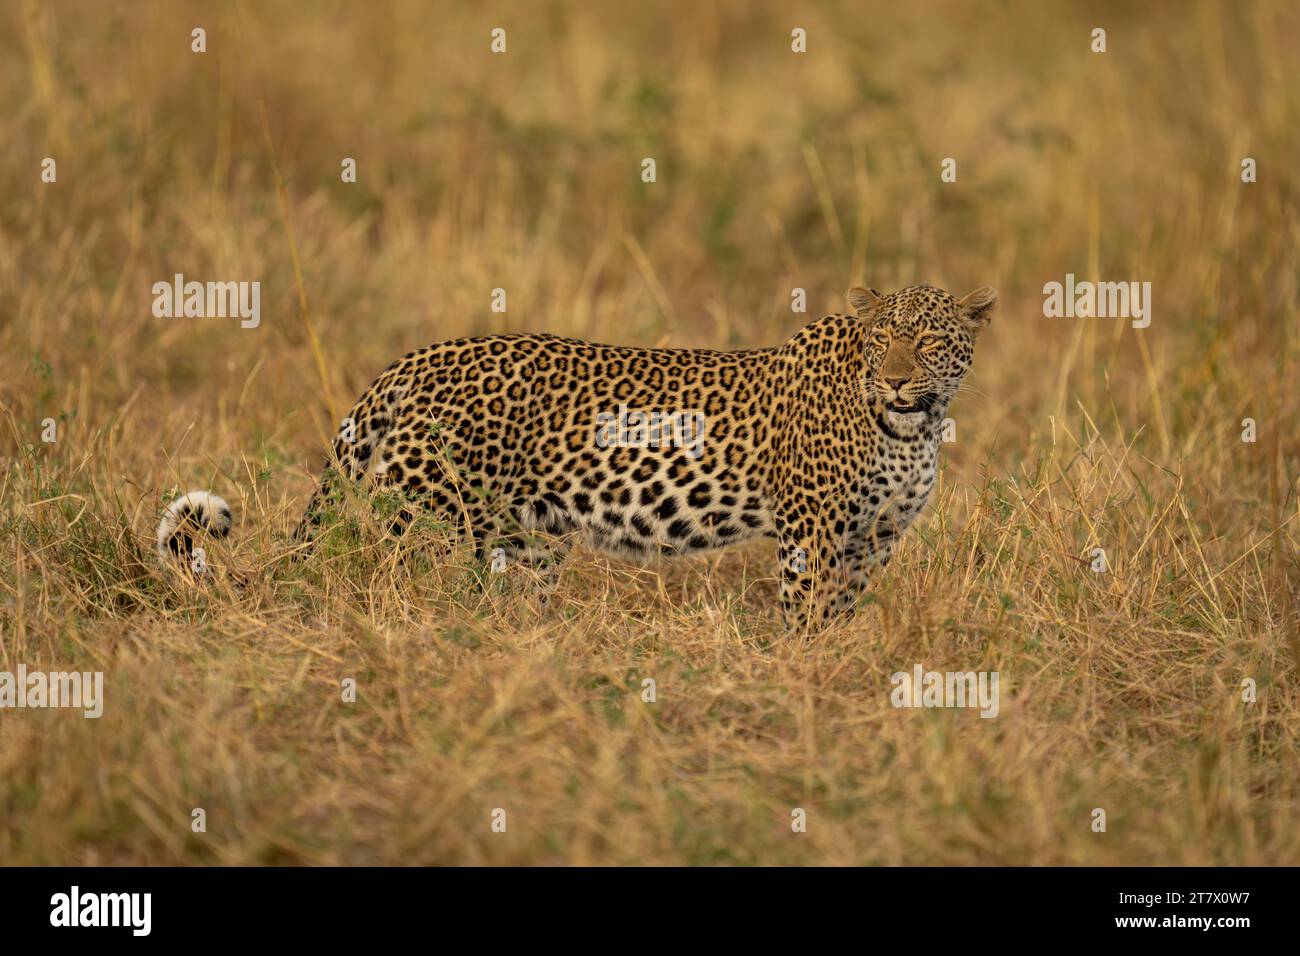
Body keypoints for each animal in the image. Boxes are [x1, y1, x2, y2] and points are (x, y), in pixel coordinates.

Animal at [157, 283, 996, 629]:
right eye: (881, 340)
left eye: (928, 341)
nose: (897, 378)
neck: (914, 427)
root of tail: (414, 360)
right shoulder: (814, 532)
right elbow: (807, 609)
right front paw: (802, 678)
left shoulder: (873, 538)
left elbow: (843, 612)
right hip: (432, 515)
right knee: (372, 578)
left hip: (529, 536)